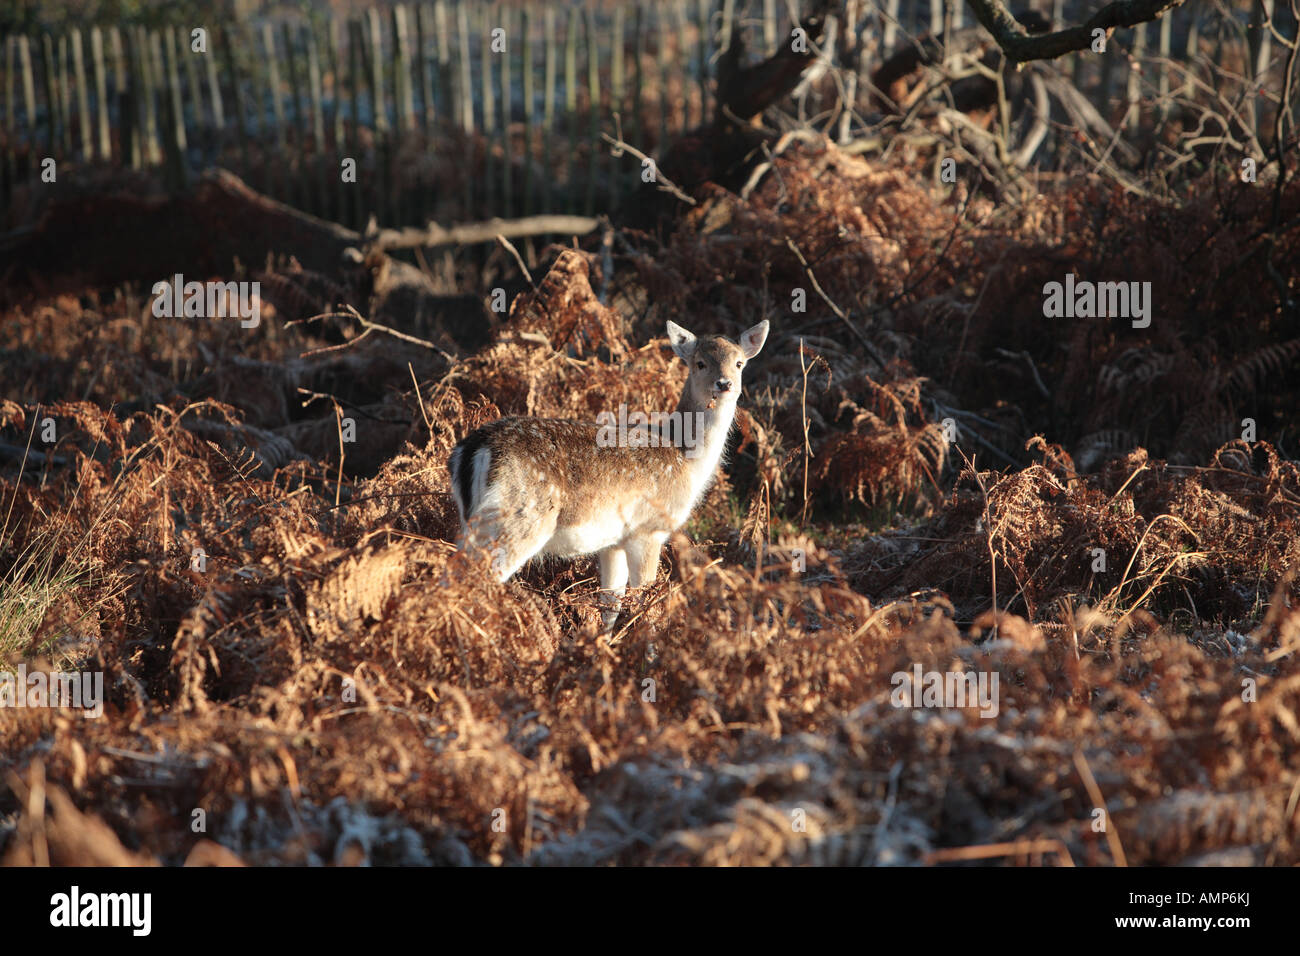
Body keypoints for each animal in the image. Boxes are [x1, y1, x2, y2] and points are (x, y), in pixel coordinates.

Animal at [448, 319, 770, 627]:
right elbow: (644, 605)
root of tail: (474, 450)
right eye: (700, 362)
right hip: (516, 522)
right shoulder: (647, 530)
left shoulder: (613, 542)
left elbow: (610, 604)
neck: (685, 459)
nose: (724, 383)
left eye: (739, 363)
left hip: (472, 526)